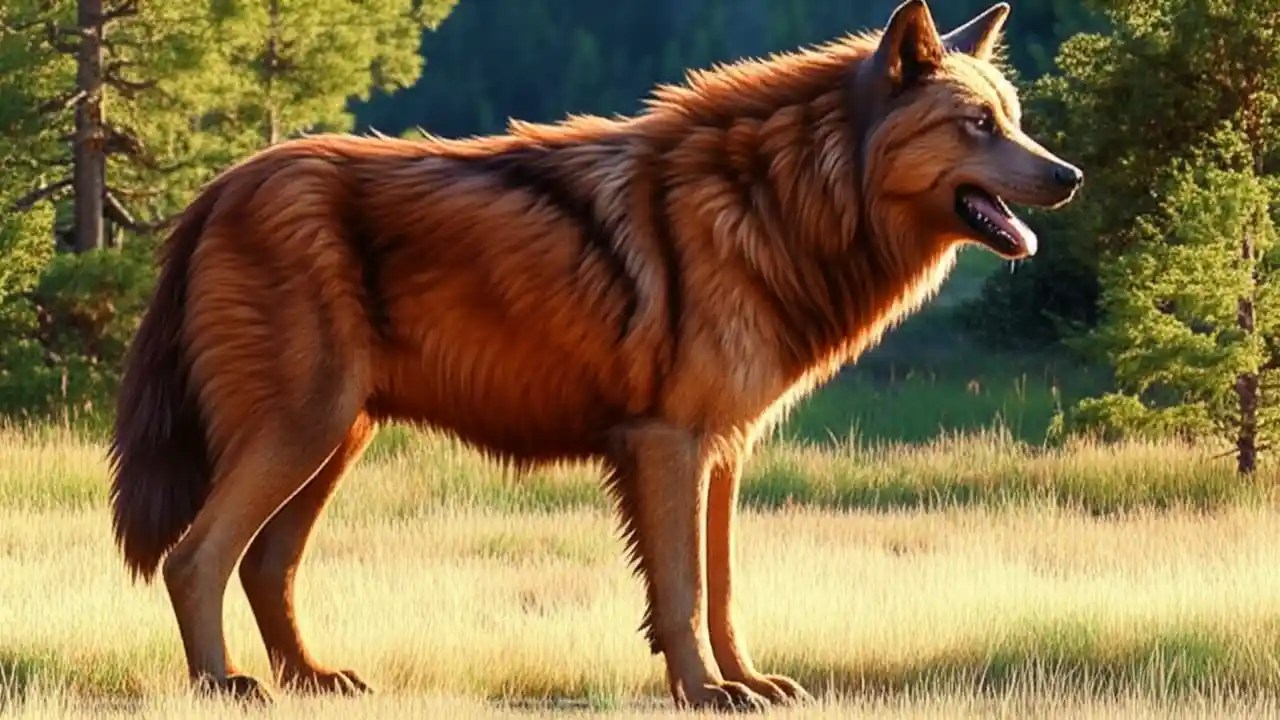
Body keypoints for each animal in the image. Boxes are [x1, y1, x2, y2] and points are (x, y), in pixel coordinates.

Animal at [109, 0, 1081, 710]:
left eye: (1016, 121)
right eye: (975, 123)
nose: (1068, 175)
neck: (771, 204)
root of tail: (222, 185)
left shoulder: (724, 451)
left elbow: (723, 590)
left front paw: (747, 682)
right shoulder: (666, 443)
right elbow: (682, 592)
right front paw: (704, 694)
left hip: (335, 442)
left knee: (266, 564)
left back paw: (315, 680)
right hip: (302, 434)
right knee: (195, 558)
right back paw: (223, 686)